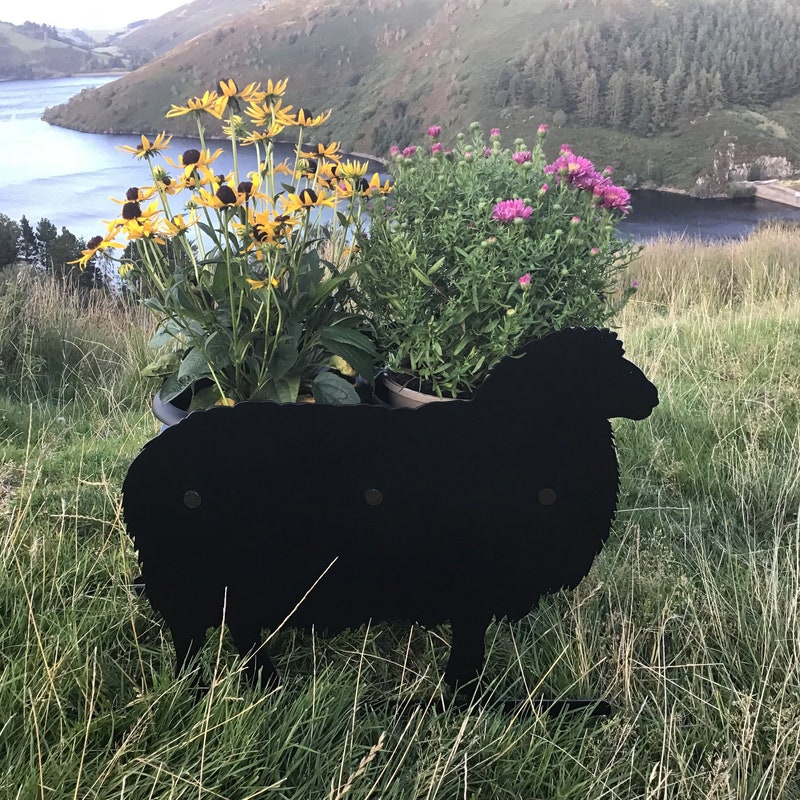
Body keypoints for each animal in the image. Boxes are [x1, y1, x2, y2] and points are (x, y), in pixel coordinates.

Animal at [122, 327, 658, 706]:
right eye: (612, 371)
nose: (653, 398)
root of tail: (143, 467)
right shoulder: (474, 590)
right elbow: (468, 655)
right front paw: (465, 702)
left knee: (237, 630)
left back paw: (262, 685)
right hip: (201, 576)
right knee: (202, 639)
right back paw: (218, 691)